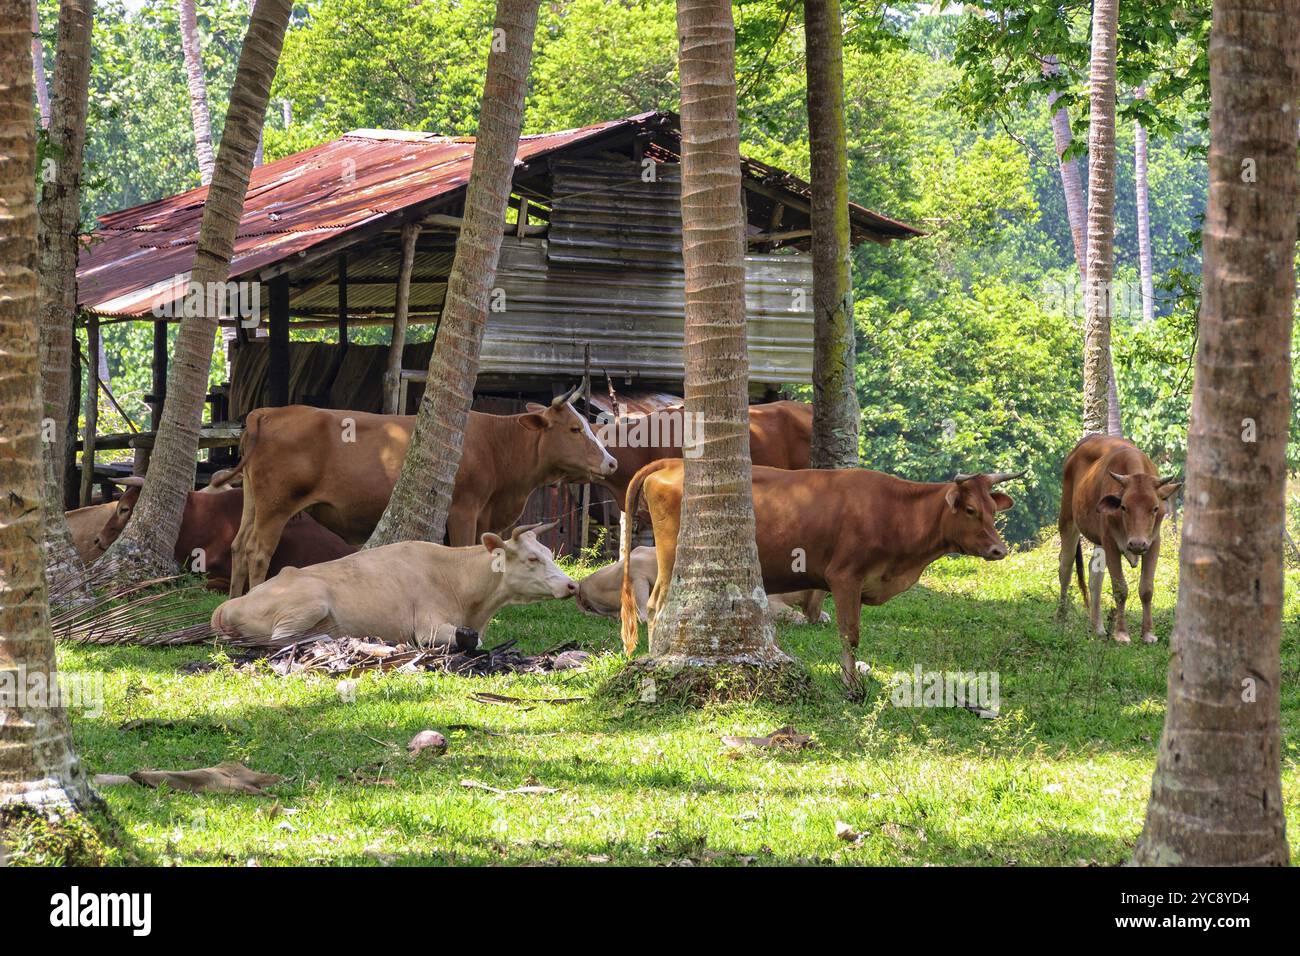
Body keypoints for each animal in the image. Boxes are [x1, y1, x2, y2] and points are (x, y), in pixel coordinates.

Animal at [211, 521, 576, 648]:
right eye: (532, 558)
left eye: (548, 553)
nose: (572, 585)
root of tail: (230, 603)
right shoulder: (427, 628)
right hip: (309, 603)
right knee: (281, 640)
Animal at [224, 387, 617, 596]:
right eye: (574, 429)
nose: (612, 462)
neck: (496, 444)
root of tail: (268, 412)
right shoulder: (463, 510)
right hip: (276, 506)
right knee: (258, 551)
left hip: (252, 503)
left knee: (239, 546)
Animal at [621, 459, 1023, 696]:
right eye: (969, 509)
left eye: (992, 509)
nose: (999, 549)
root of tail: (673, 462)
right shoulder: (845, 577)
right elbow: (850, 633)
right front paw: (852, 685)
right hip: (673, 559)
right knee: (655, 606)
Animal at [1056, 435, 1181, 644]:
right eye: (1123, 507)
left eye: (1155, 508)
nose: (1137, 543)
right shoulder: (1110, 542)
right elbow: (1120, 589)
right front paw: (1121, 634)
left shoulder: (1153, 543)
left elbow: (1147, 589)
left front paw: (1148, 633)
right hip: (1067, 519)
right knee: (1065, 567)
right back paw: (1061, 621)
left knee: (1094, 575)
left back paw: (1097, 627)